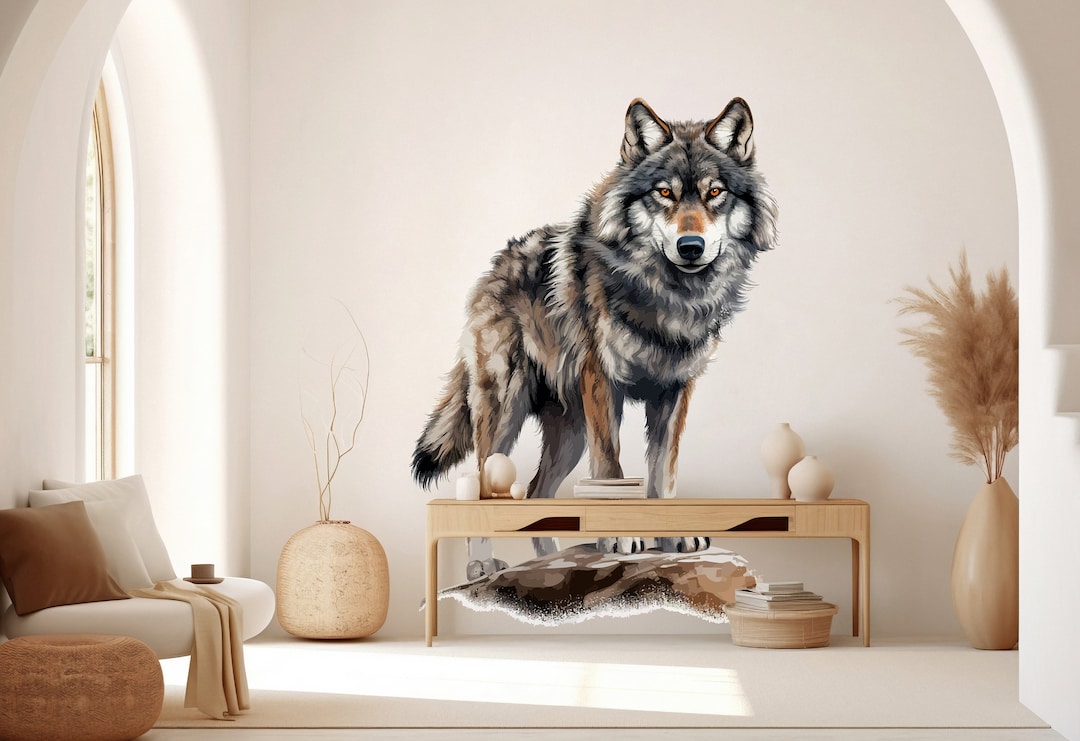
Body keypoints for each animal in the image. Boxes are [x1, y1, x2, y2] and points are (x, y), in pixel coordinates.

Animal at [412, 98, 778, 564]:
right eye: (665, 193)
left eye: (715, 193)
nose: (691, 247)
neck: (668, 298)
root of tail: (494, 268)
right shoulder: (603, 383)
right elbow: (611, 466)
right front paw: (618, 537)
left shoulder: (676, 392)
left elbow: (664, 472)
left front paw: (672, 534)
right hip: (507, 414)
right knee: (483, 489)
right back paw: (482, 565)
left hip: (570, 434)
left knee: (537, 494)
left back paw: (544, 561)